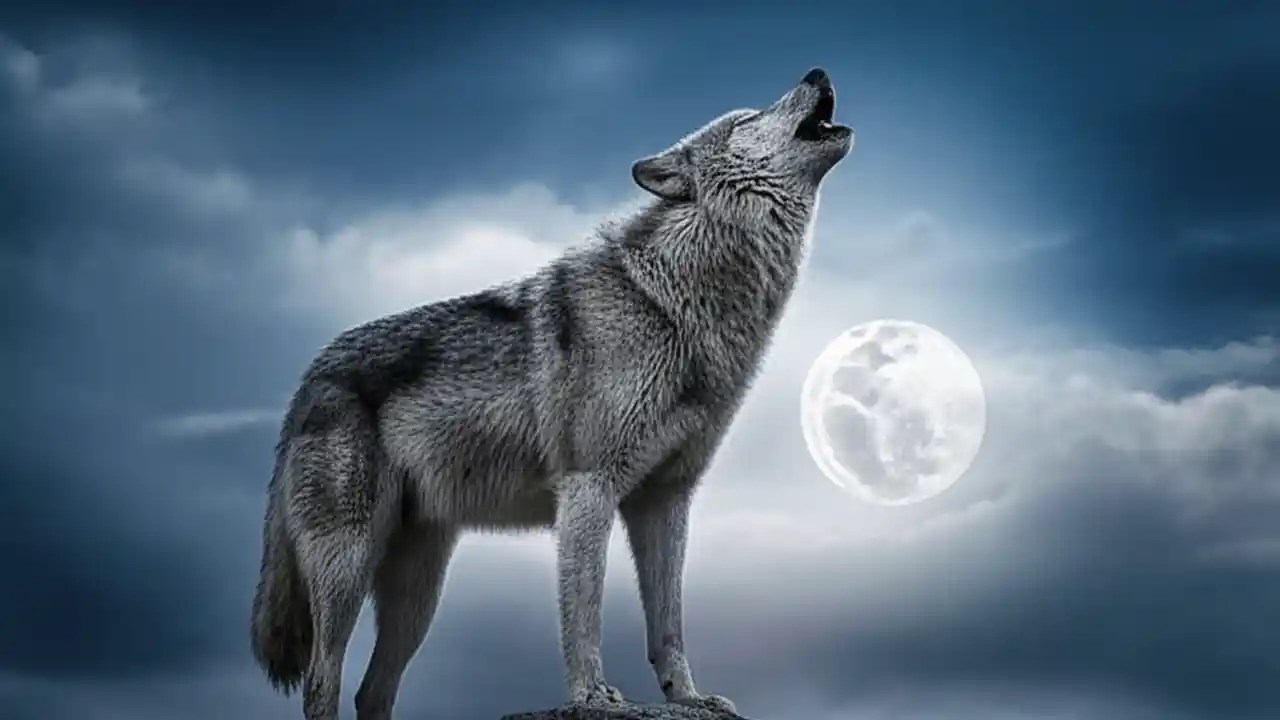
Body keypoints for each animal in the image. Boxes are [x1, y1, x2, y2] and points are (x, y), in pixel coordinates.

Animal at [250, 67, 853, 719]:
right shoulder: (589, 487)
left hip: (418, 593)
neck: (672, 298)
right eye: (749, 118)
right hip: (349, 569)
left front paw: (690, 698)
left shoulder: (666, 499)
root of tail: (309, 377)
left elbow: (669, 624)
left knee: (371, 690)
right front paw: (592, 694)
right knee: (322, 680)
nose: (818, 71)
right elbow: (584, 612)